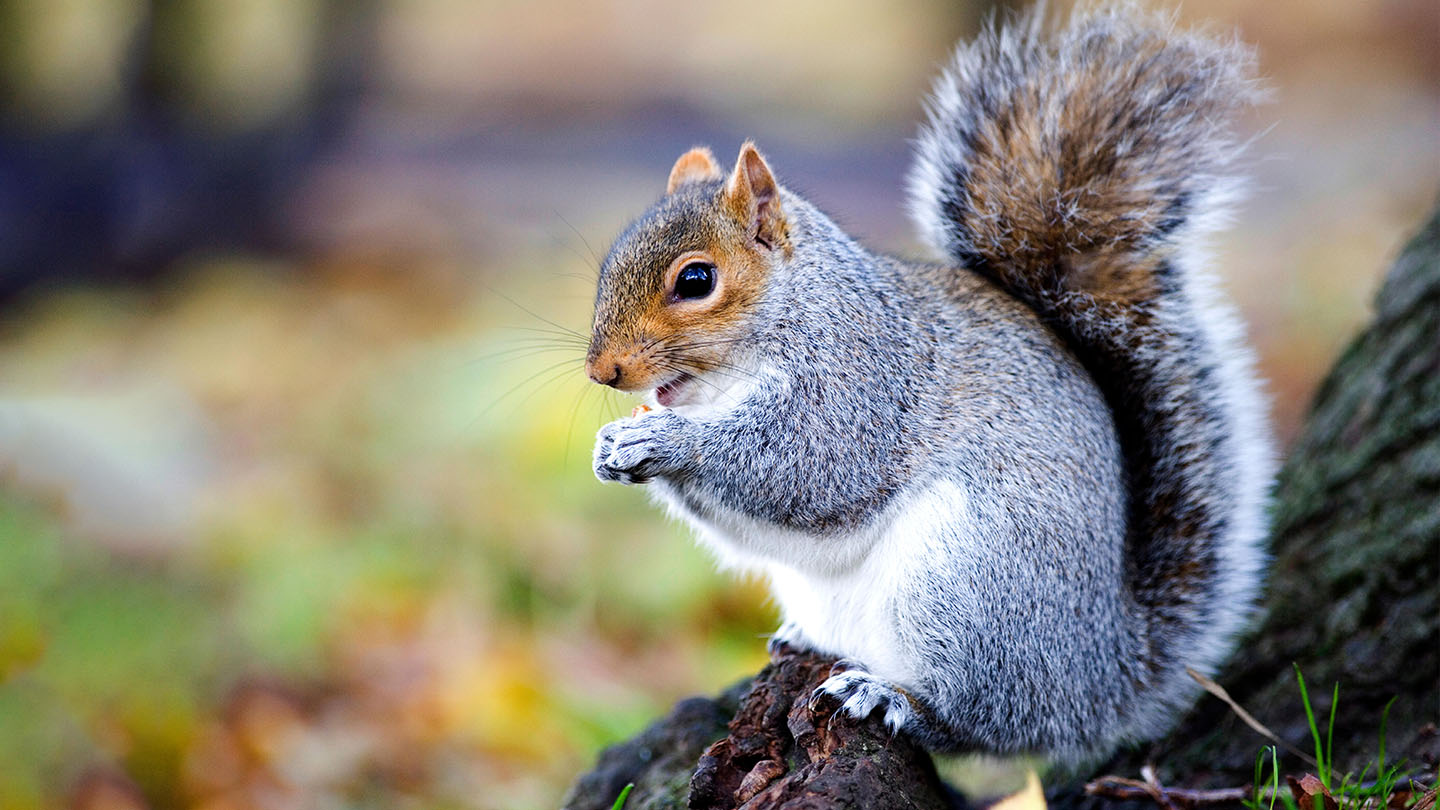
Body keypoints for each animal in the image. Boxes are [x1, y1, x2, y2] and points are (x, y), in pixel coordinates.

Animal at [584, 3, 1274, 764]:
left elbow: (805, 469)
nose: (603, 370)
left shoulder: (863, 383)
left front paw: (664, 442)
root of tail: (1103, 675)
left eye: (697, 280)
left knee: (980, 723)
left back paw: (892, 698)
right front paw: (612, 446)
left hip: (966, 587)